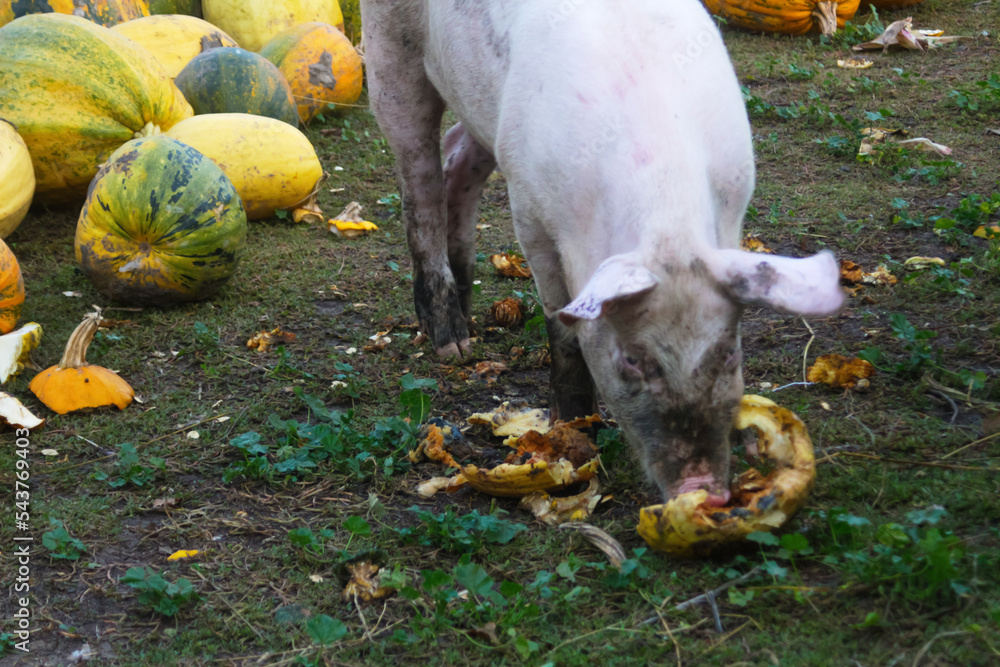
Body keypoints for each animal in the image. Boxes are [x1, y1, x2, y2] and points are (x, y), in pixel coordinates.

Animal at [360, 0, 844, 505]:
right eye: (632, 360)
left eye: (729, 353)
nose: (704, 489)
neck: (666, 215)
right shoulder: (530, 214)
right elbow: (561, 322)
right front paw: (573, 431)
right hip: (389, 52)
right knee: (420, 182)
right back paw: (454, 345)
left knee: (458, 154)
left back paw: (469, 317)